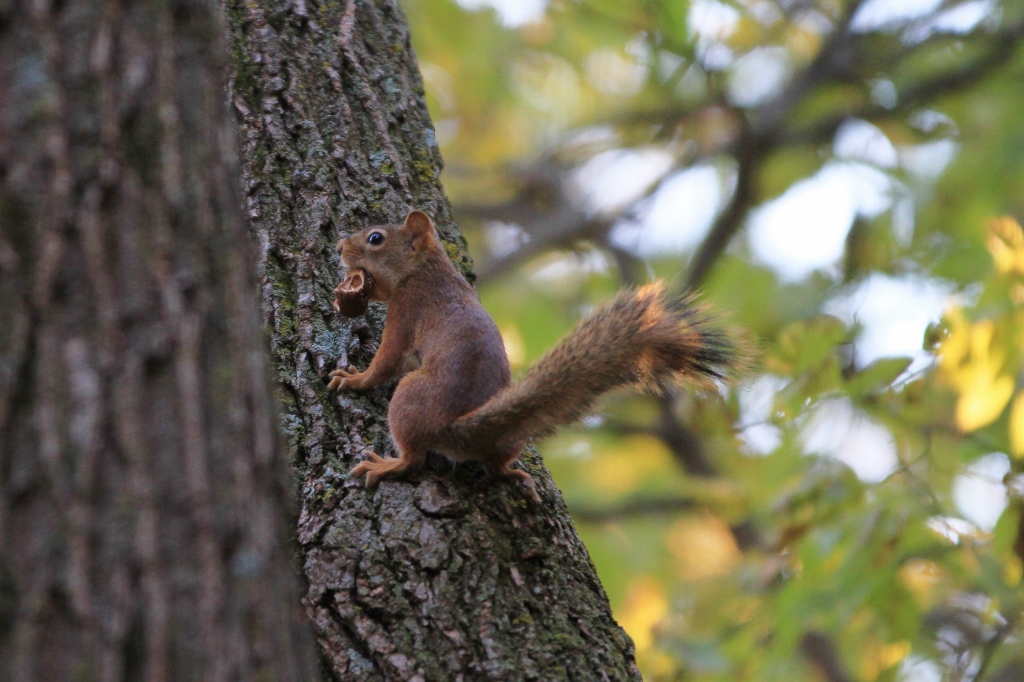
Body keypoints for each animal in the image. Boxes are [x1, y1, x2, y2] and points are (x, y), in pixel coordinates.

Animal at [331, 210, 739, 500]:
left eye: (375, 238)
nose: (338, 248)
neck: (427, 267)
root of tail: (462, 430)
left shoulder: (407, 311)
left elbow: (386, 361)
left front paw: (354, 379)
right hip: (507, 443)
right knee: (496, 465)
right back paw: (512, 473)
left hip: (411, 397)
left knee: (414, 457)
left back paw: (387, 466)